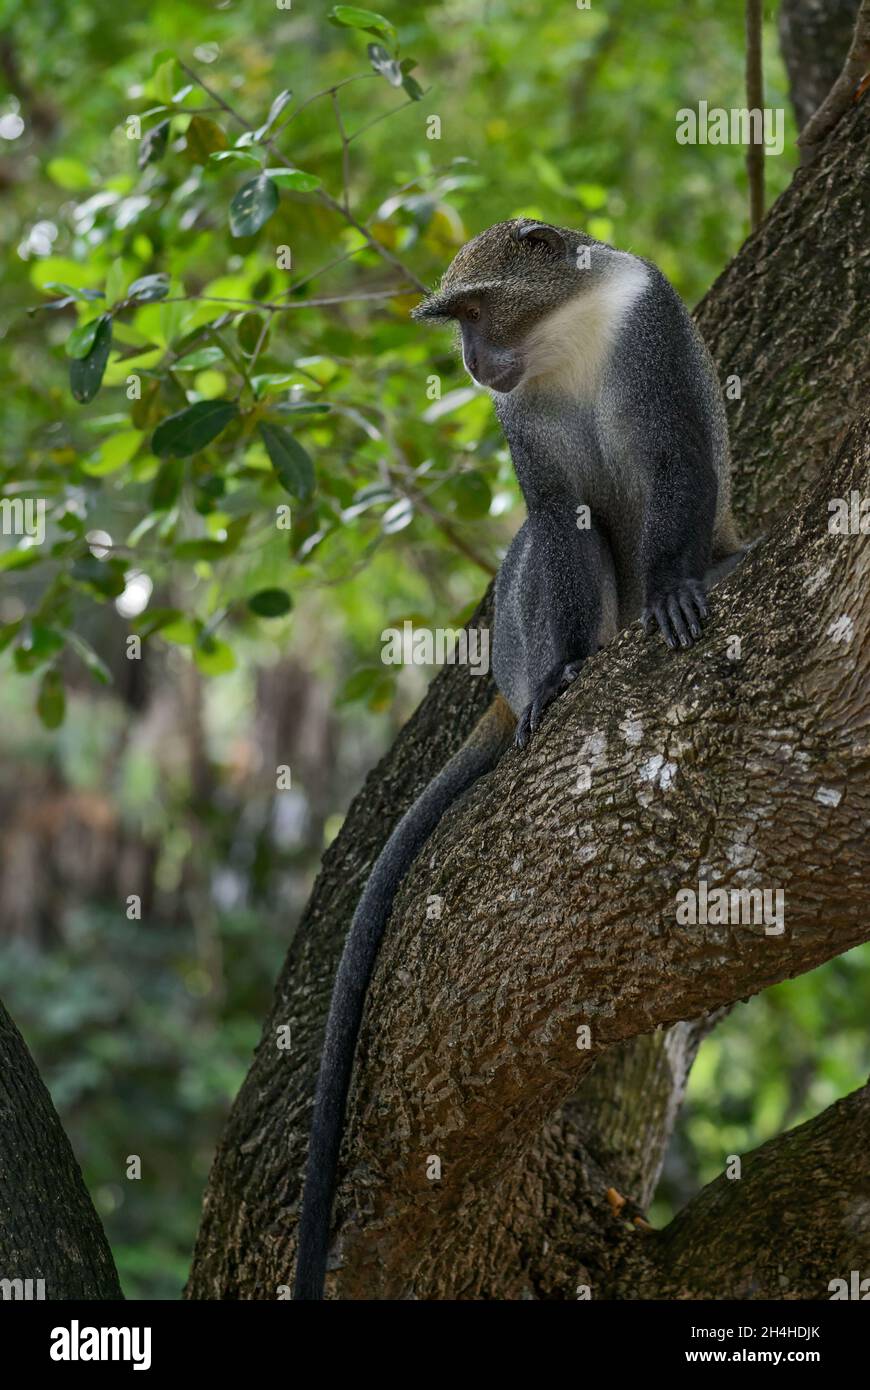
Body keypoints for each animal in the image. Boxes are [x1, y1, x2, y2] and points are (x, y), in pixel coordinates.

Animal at [294, 218, 744, 1299]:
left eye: (473, 311)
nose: (468, 361)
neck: (565, 328)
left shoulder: (650, 329)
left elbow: (674, 459)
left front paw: (681, 588)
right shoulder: (523, 421)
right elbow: (555, 514)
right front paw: (564, 672)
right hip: (526, 630)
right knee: (537, 546)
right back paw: (551, 683)